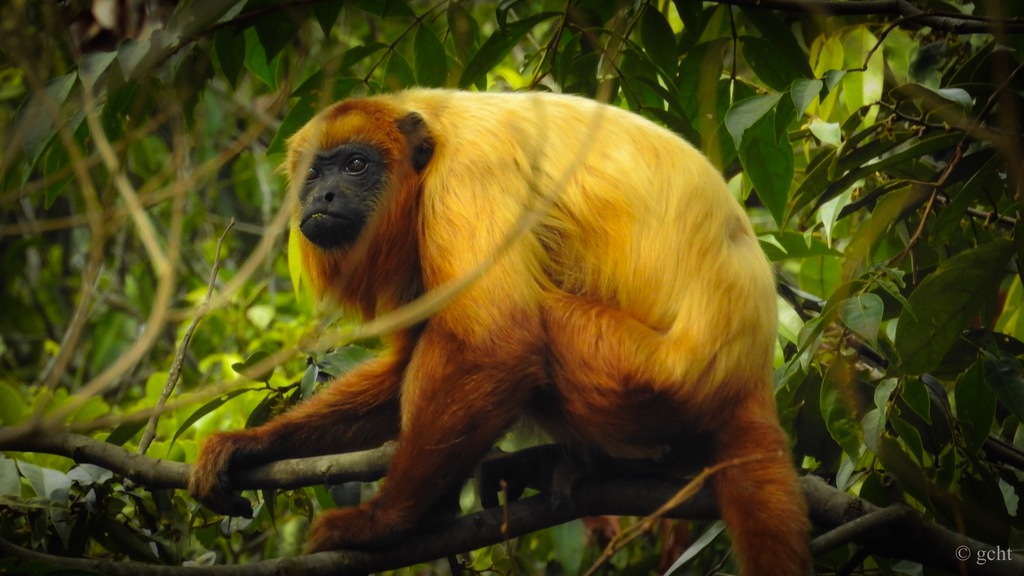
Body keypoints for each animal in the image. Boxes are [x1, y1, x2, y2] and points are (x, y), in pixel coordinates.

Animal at [188, 88, 811, 576]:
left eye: (356, 165)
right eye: (315, 171)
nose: (320, 197)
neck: (427, 150)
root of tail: (748, 373)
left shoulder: (468, 178)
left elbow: (496, 343)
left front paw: (384, 522)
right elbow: (402, 368)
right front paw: (247, 443)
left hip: (654, 378)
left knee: (536, 321)